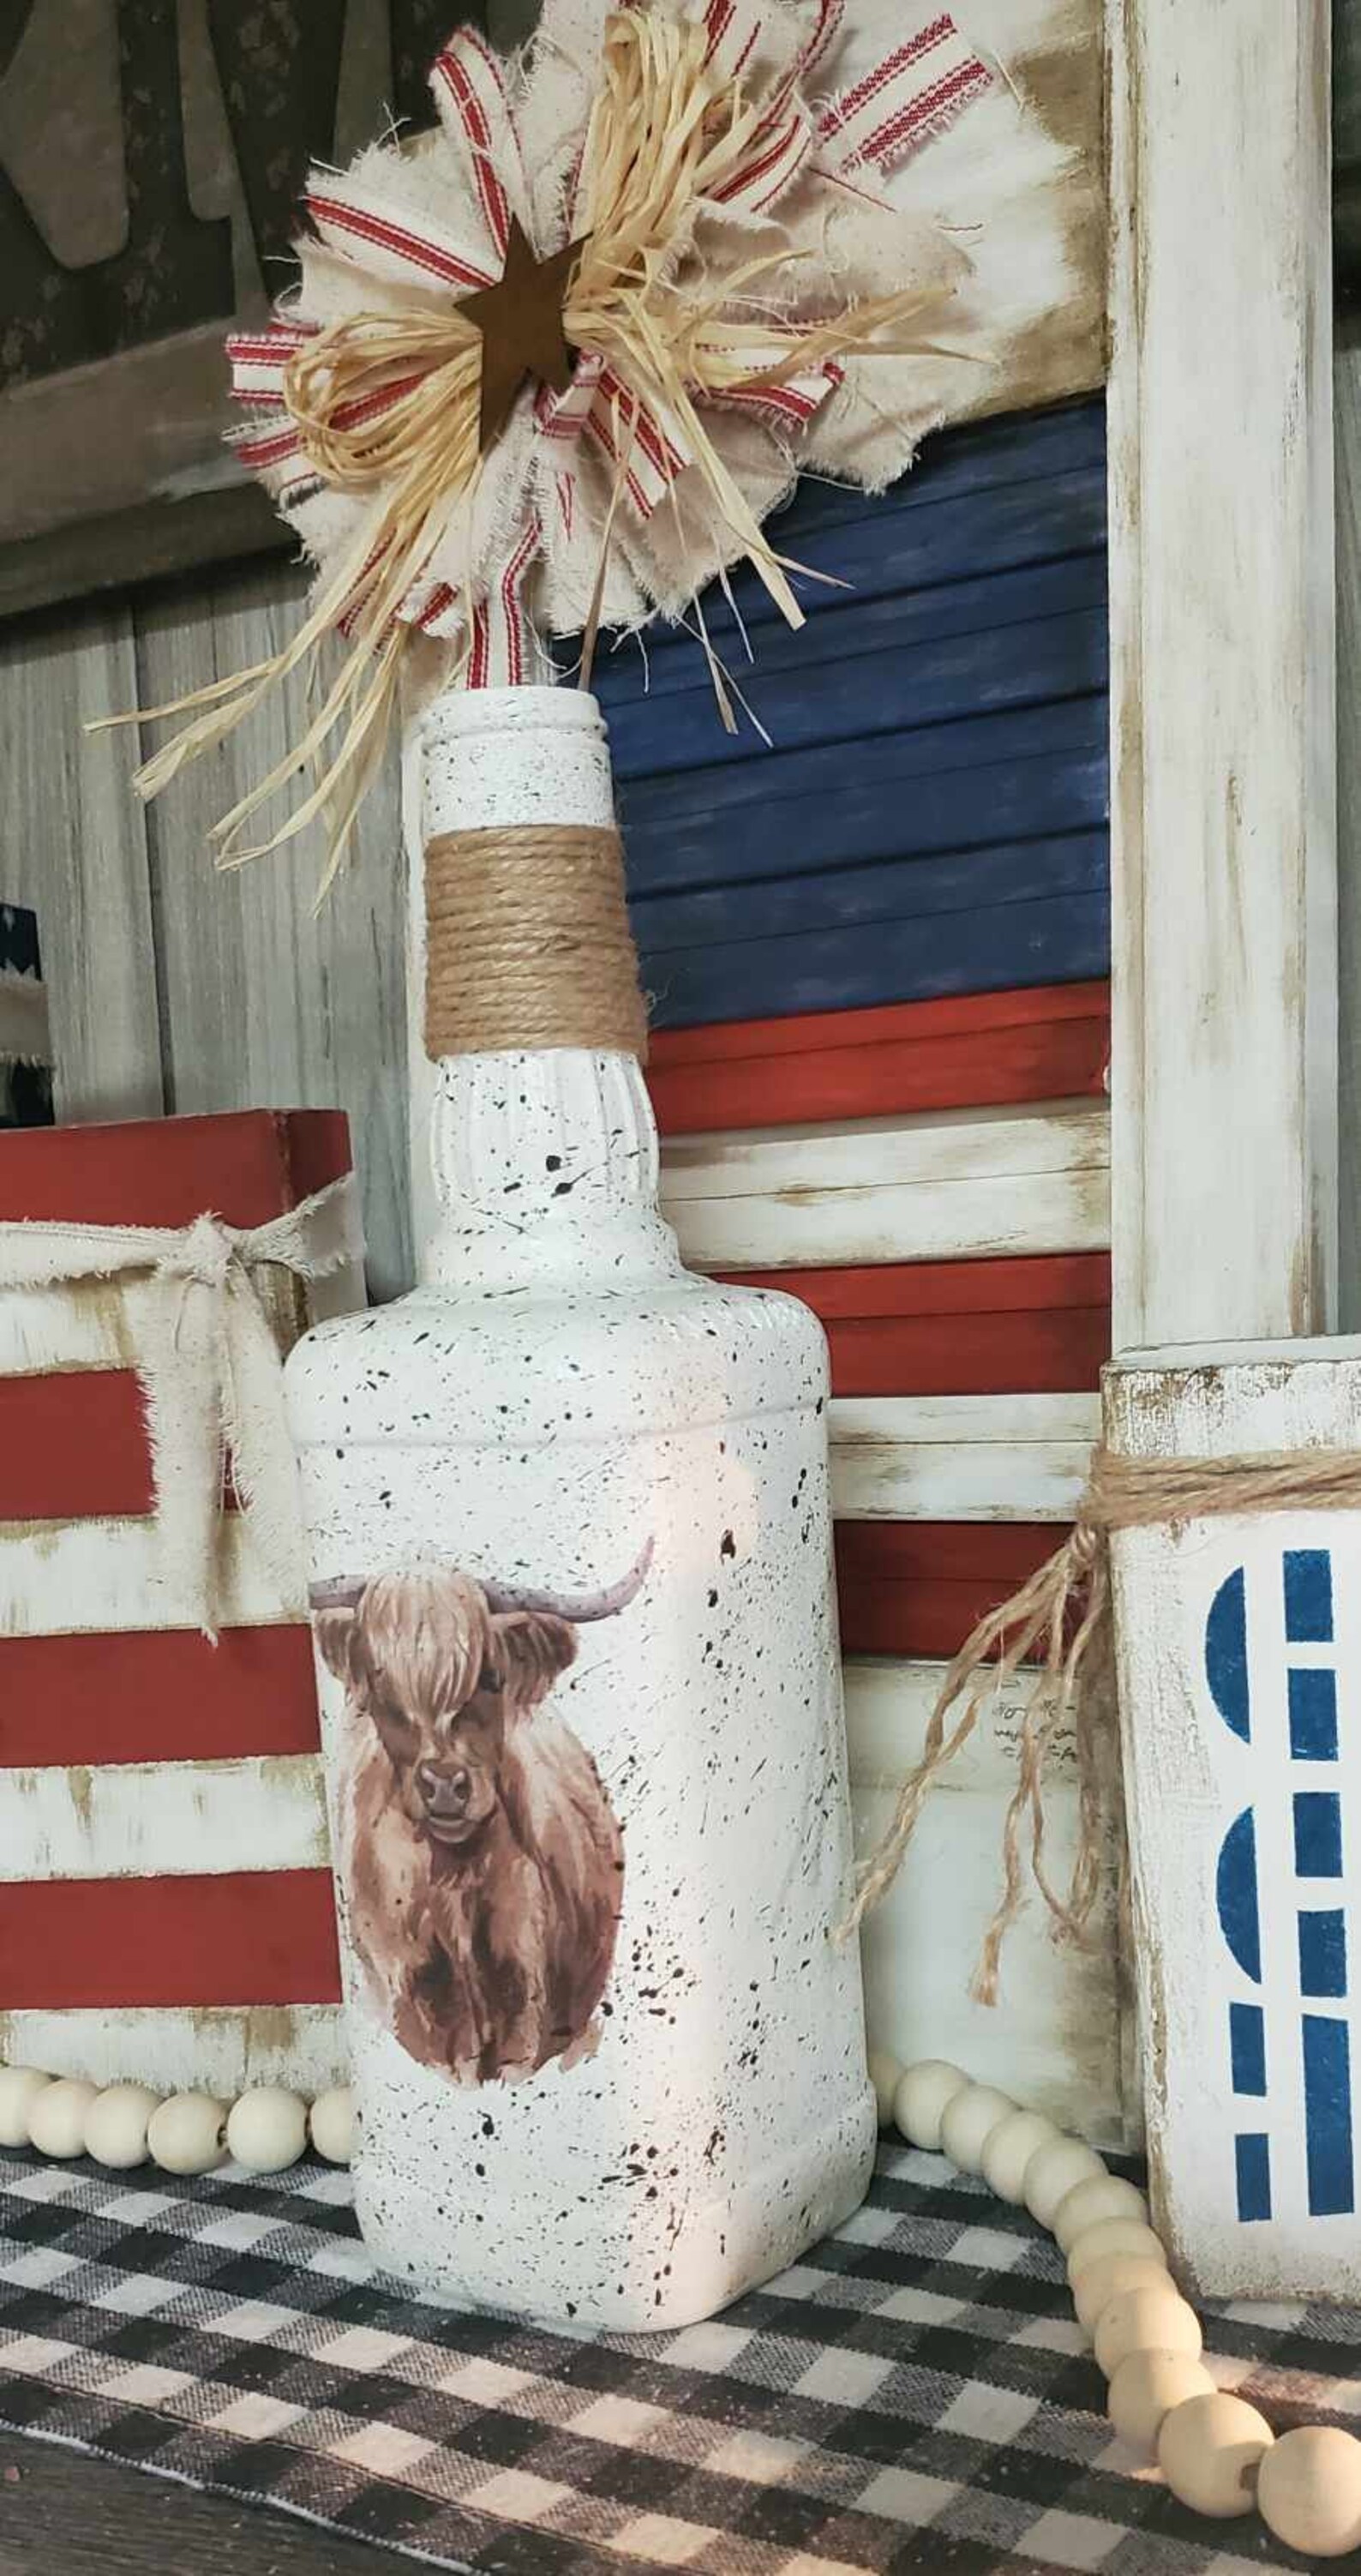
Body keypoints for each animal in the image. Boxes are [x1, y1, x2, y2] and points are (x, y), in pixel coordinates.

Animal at [310, 1541, 651, 2085]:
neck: (455, 1887)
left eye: (489, 1680)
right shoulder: (414, 2009)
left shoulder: (528, 2013)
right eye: (381, 1688)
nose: (444, 1786)